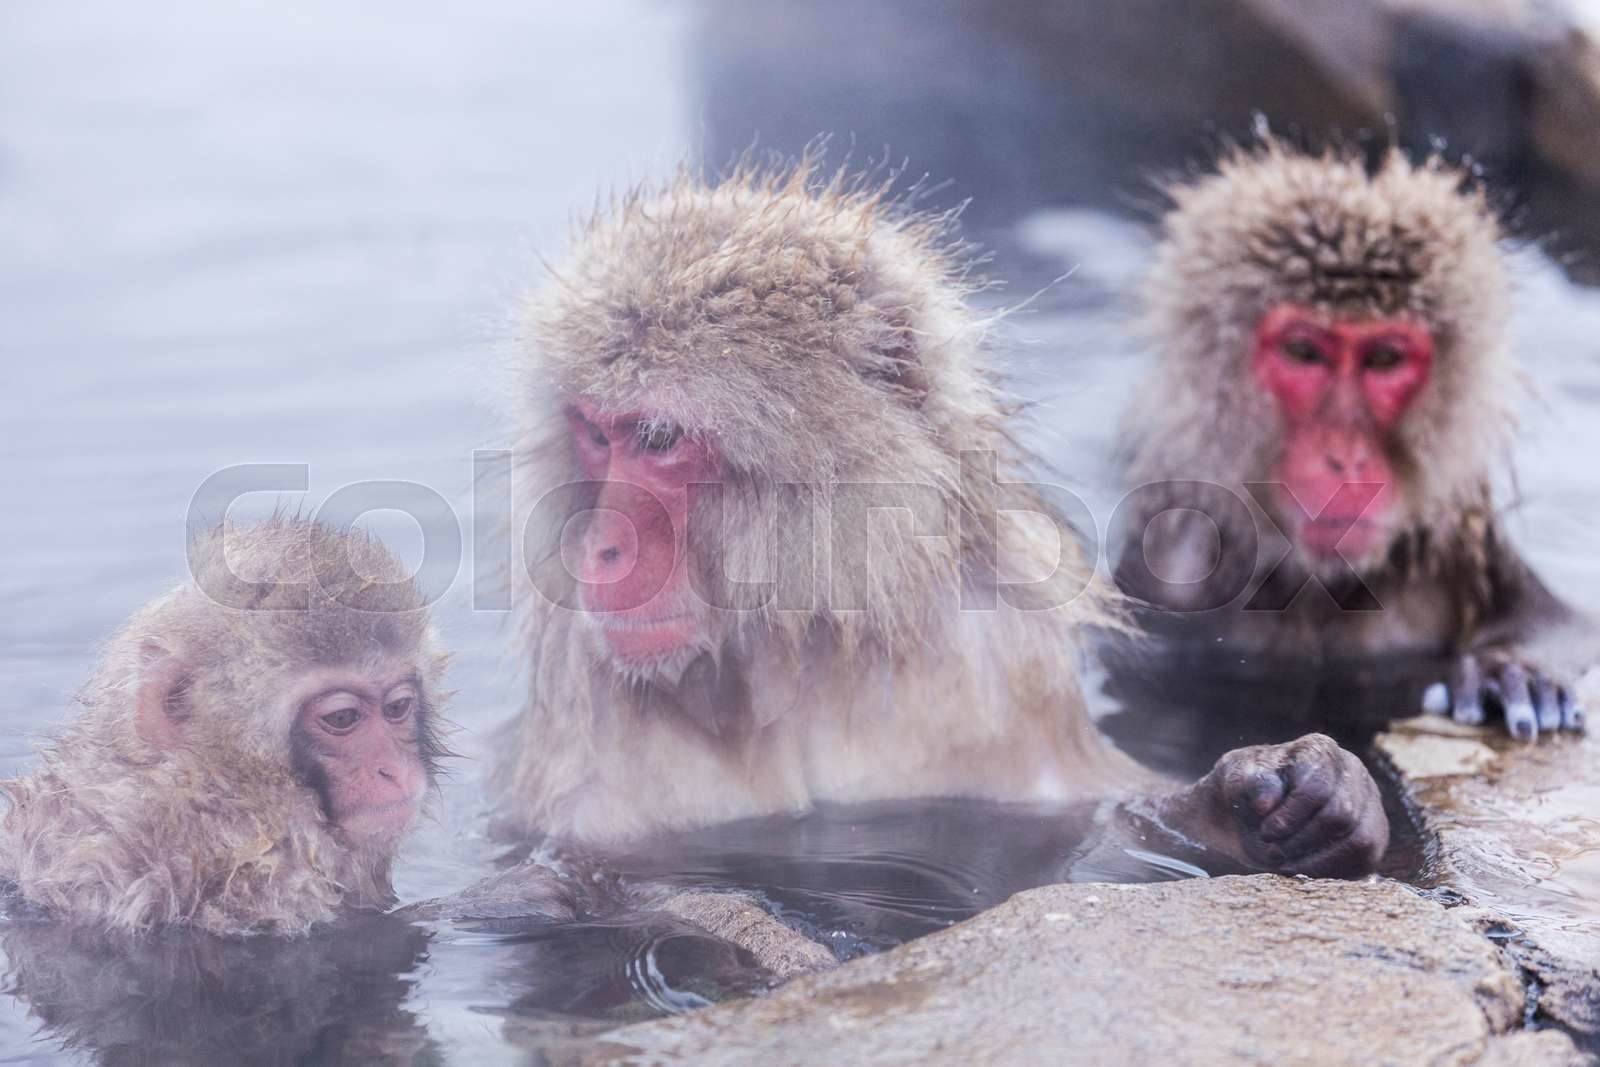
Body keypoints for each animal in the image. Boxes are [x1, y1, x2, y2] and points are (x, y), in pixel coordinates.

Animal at [486, 161, 1389, 882]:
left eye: (657, 438)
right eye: (593, 431)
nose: (598, 545)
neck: (797, 648)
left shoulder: (996, 662)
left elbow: (1089, 804)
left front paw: (1272, 798)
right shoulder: (588, 707)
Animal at [1112, 139, 1594, 743]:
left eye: (1383, 358)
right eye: (1304, 352)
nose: (1345, 455)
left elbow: (1567, 626)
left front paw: (1511, 671)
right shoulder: (1167, 577)